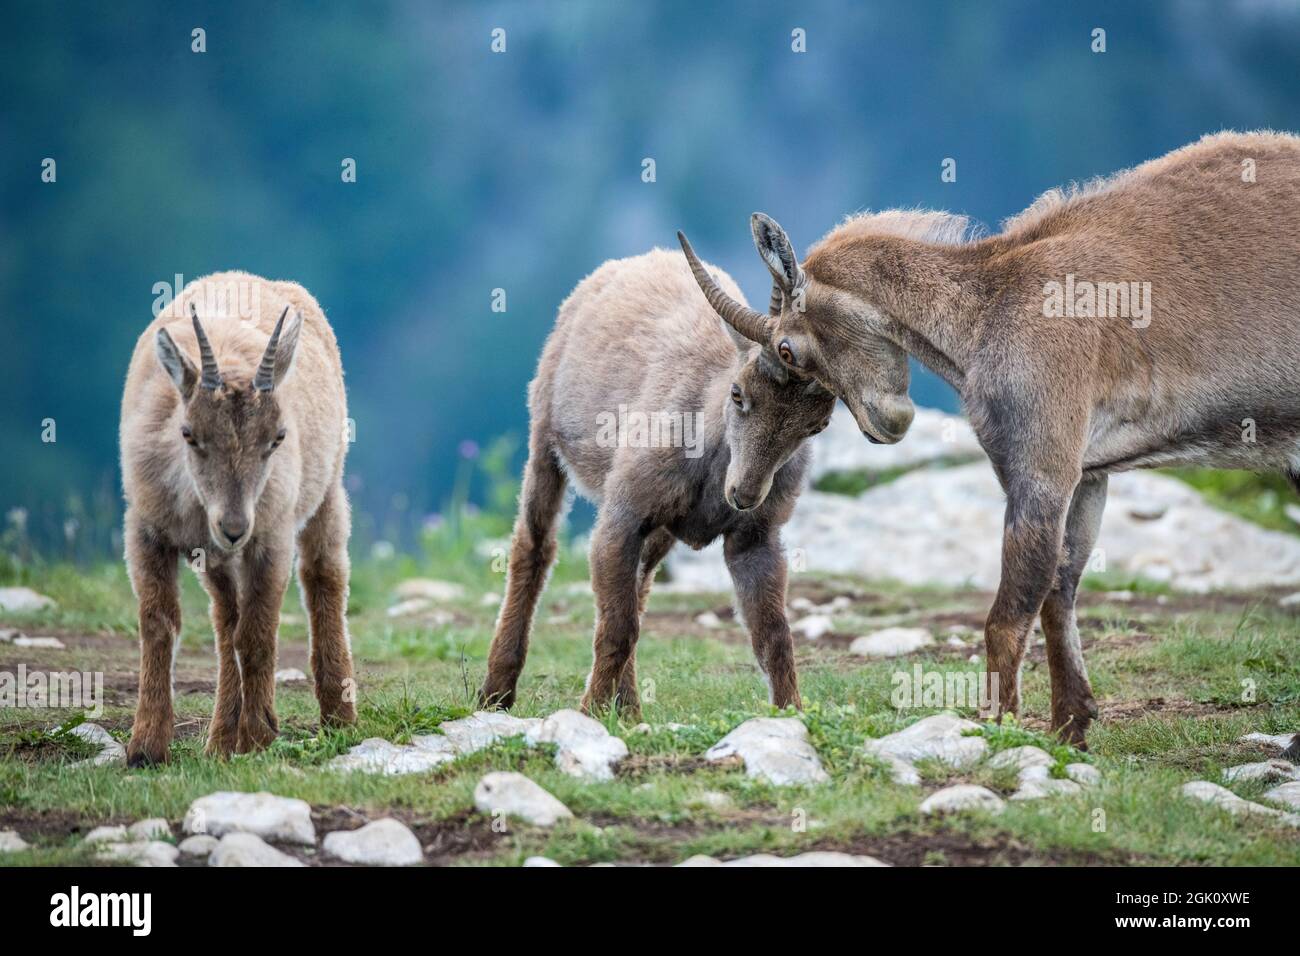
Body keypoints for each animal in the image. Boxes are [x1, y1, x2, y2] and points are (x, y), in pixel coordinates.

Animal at [119, 272, 355, 764]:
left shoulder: (271, 536)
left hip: (327, 482)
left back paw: (338, 715)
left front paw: (260, 736)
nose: (233, 529)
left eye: (277, 437)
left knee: (323, 572)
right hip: (213, 558)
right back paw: (220, 739)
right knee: (225, 618)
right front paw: (146, 746)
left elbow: (258, 634)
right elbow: (159, 624)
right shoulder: (146, 530)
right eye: (189, 434)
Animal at [479, 248, 836, 716]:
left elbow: (773, 634)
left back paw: (629, 708)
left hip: (662, 528)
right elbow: (617, 627)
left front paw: (791, 711)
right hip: (545, 442)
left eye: (817, 425)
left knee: (642, 585)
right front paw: (590, 712)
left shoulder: (754, 539)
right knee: (534, 547)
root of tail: (635, 259)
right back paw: (497, 691)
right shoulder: (623, 515)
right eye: (738, 393)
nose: (744, 495)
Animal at [684, 130, 1300, 757]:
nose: (888, 423)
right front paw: (1070, 727)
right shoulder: (1086, 474)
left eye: (787, 349)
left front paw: (999, 726)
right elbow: (1058, 592)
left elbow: (1007, 615)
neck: (987, 307)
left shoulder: (1042, 462)